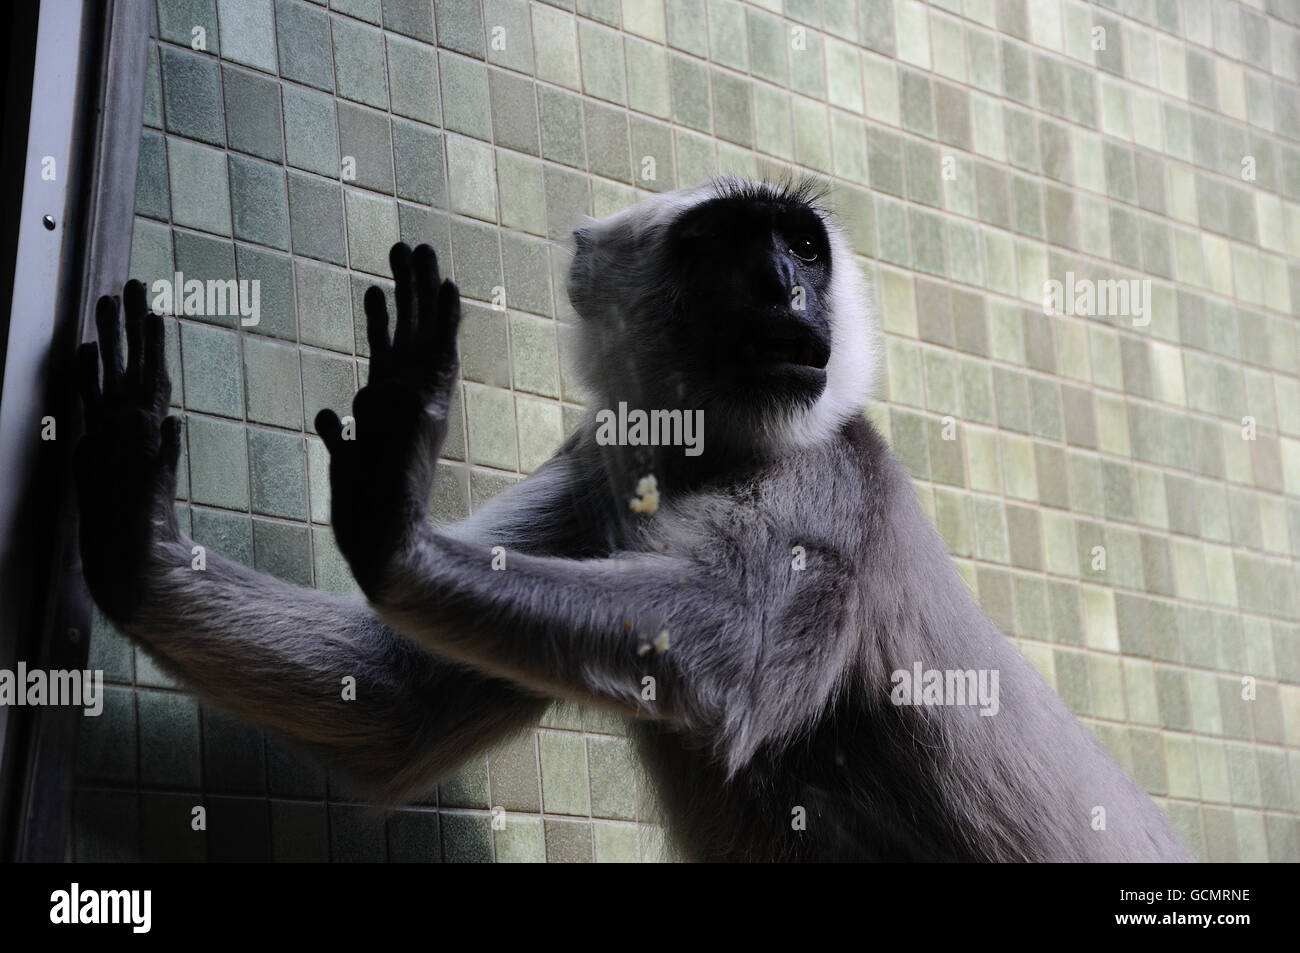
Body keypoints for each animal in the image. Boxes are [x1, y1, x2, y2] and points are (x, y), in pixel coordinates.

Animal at [75, 176, 1194, 862]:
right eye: (722, 248)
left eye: (800, 246)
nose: (783, 286)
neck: (719, 456)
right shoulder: (599, 469)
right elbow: (395, 698)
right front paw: (129, 532)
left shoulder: (837, 471)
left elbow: (733, 652)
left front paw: (392, 520)